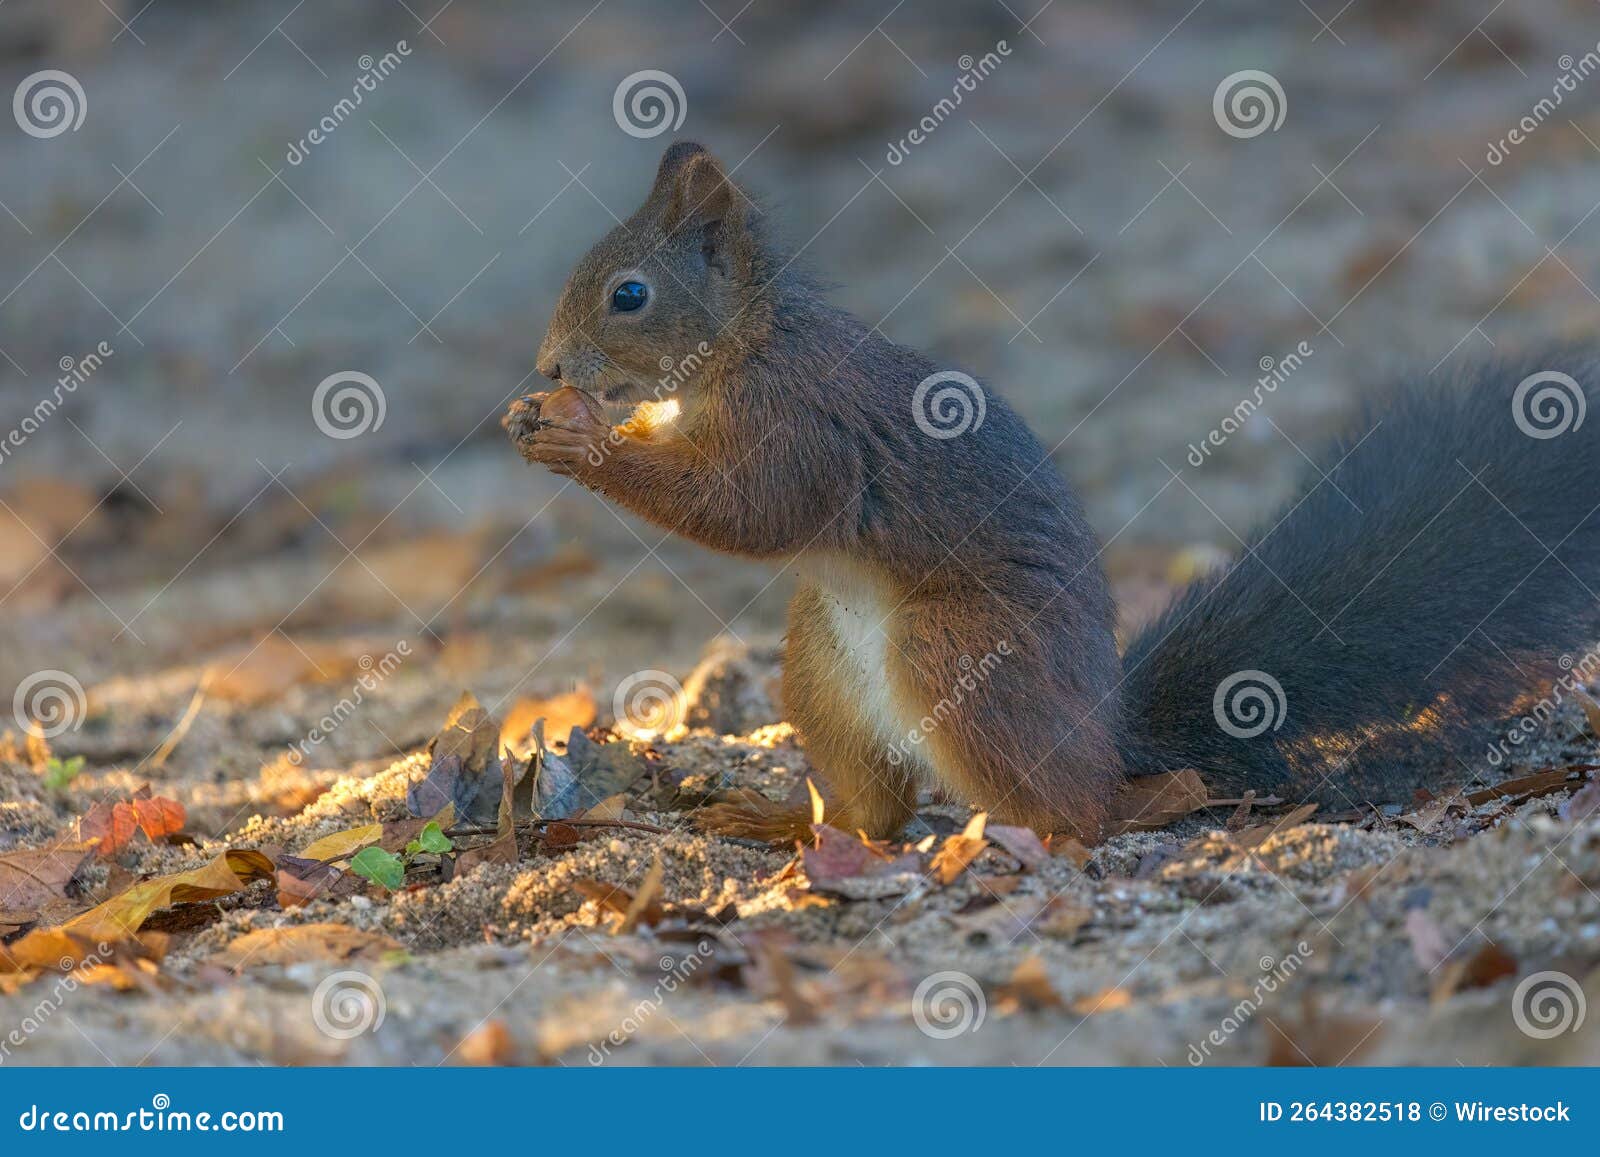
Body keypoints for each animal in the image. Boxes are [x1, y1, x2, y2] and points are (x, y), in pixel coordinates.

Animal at [505, 140, 1600, 841]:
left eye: (630, 295)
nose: (550, 367)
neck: (743, 348)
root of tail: (1105, 737)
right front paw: (557, 419)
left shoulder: (805, 426)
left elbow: (753, 510)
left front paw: (579, 443)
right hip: (820, 665)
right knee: (878, 813)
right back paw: (790, 823)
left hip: (961, 652)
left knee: (1079, 811)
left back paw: (1066, 825)